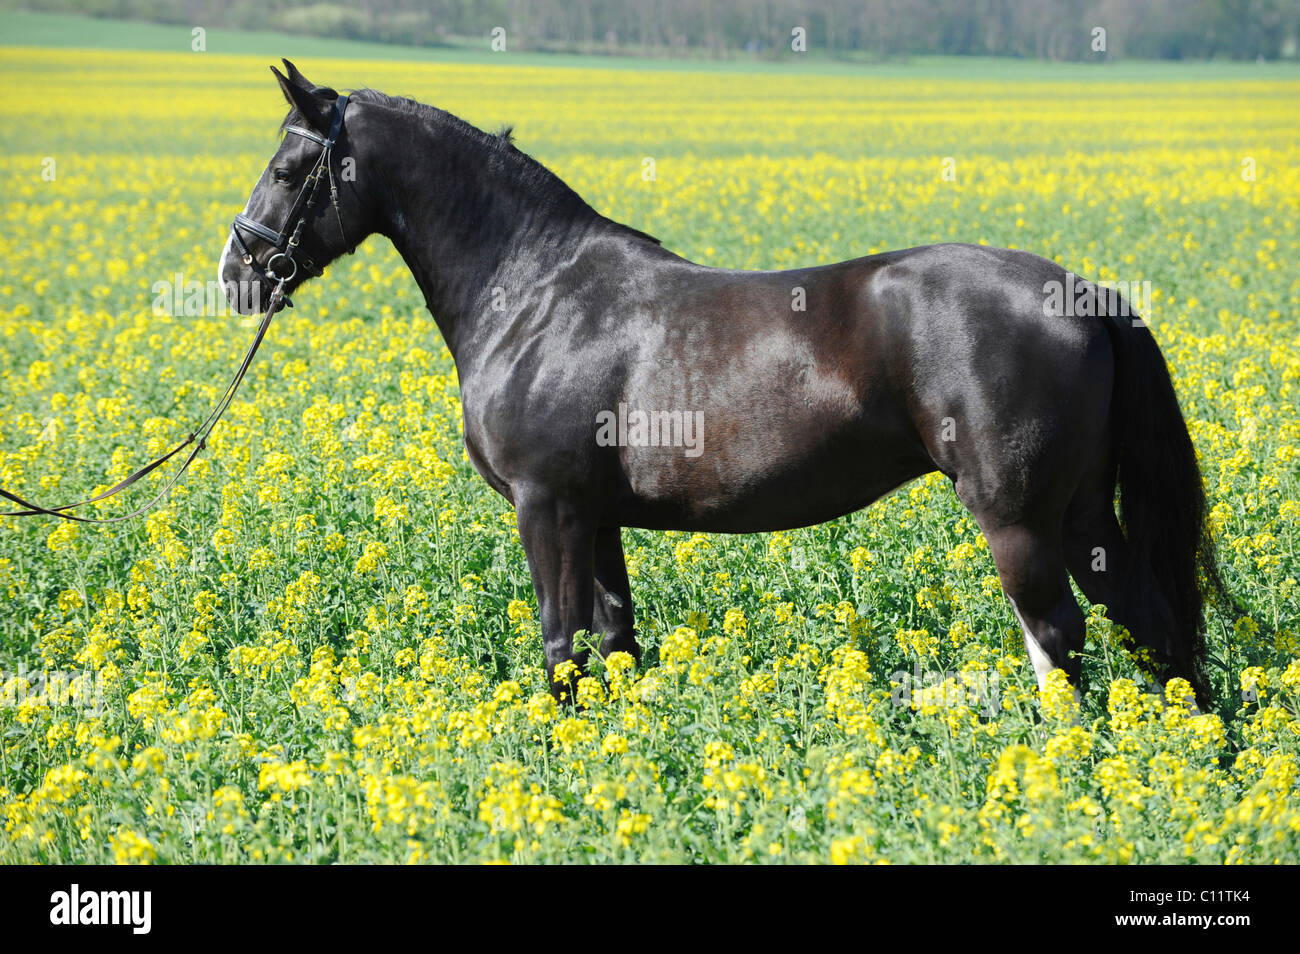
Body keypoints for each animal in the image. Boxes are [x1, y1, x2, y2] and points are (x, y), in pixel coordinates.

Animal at [221, 60, 1222, 705]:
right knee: (1151, 623)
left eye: (288, 167)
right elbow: (616, 638)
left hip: (1019, 521)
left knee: (1060, 640)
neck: (540, 290)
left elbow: (560, 645)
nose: (238, 275)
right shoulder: (598, 517)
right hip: (1083, 515)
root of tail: (1082, 293)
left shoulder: (547, 508)